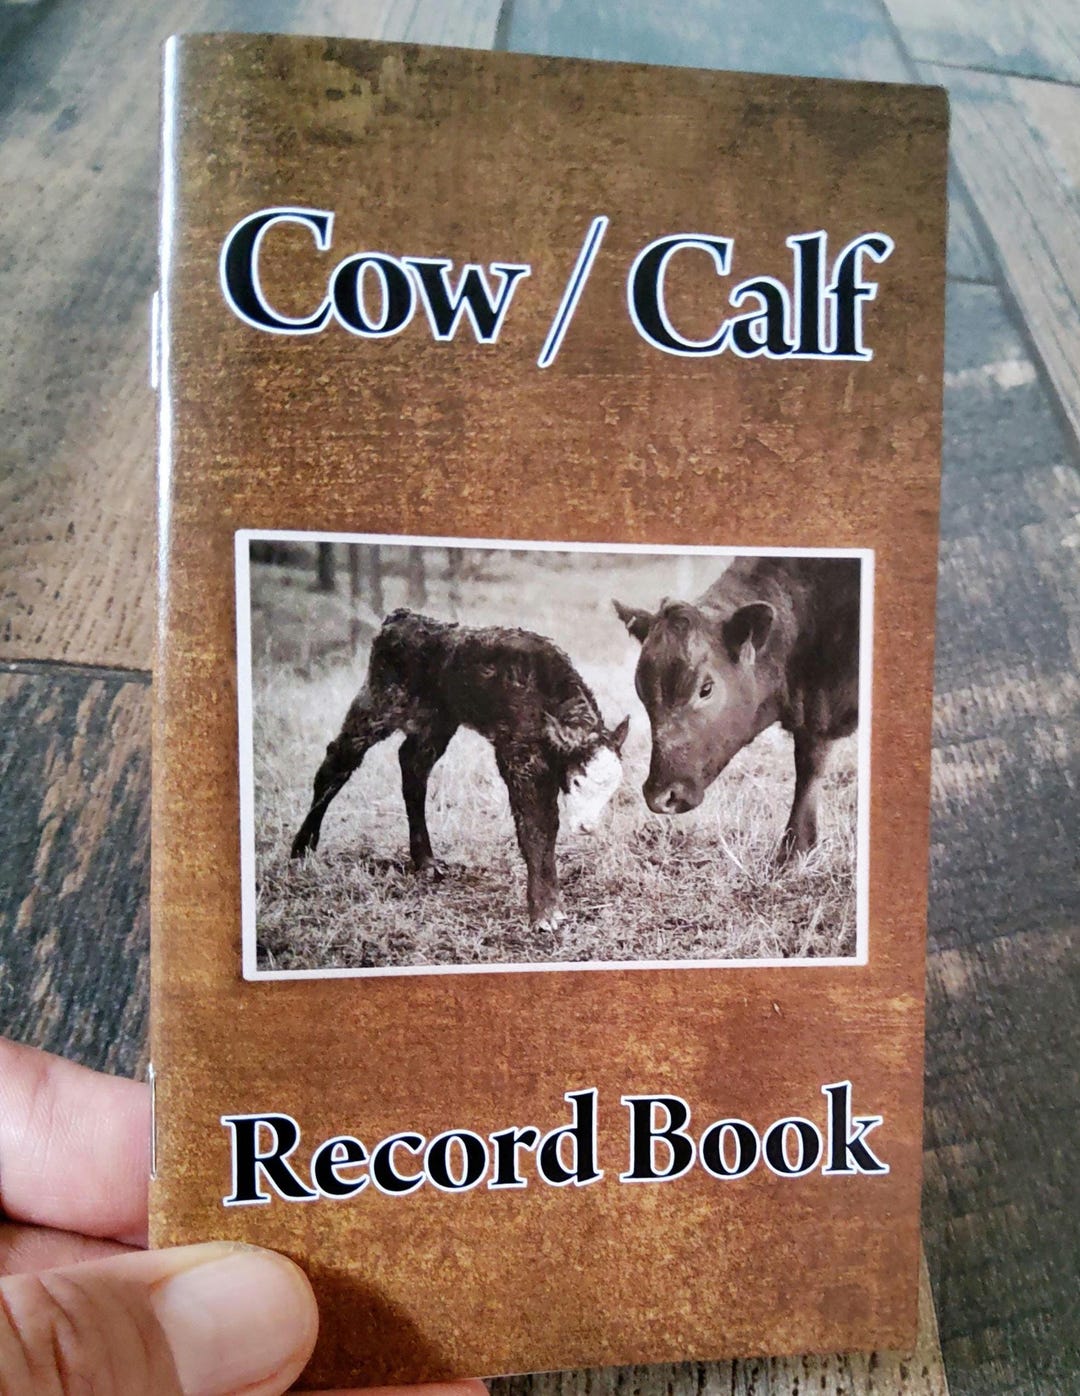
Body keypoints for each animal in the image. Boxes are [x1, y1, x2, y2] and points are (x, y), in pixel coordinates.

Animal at [291, 609, 629, 929]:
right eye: (578, 781)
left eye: (610, 791)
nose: (587, 826)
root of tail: (400, 618)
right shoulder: (519, 759)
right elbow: (537, 827)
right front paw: (544, 913)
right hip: (379, 702)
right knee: (338, 761)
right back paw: (301, 849)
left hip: (437, 722)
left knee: (413, 768)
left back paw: (426, 861)